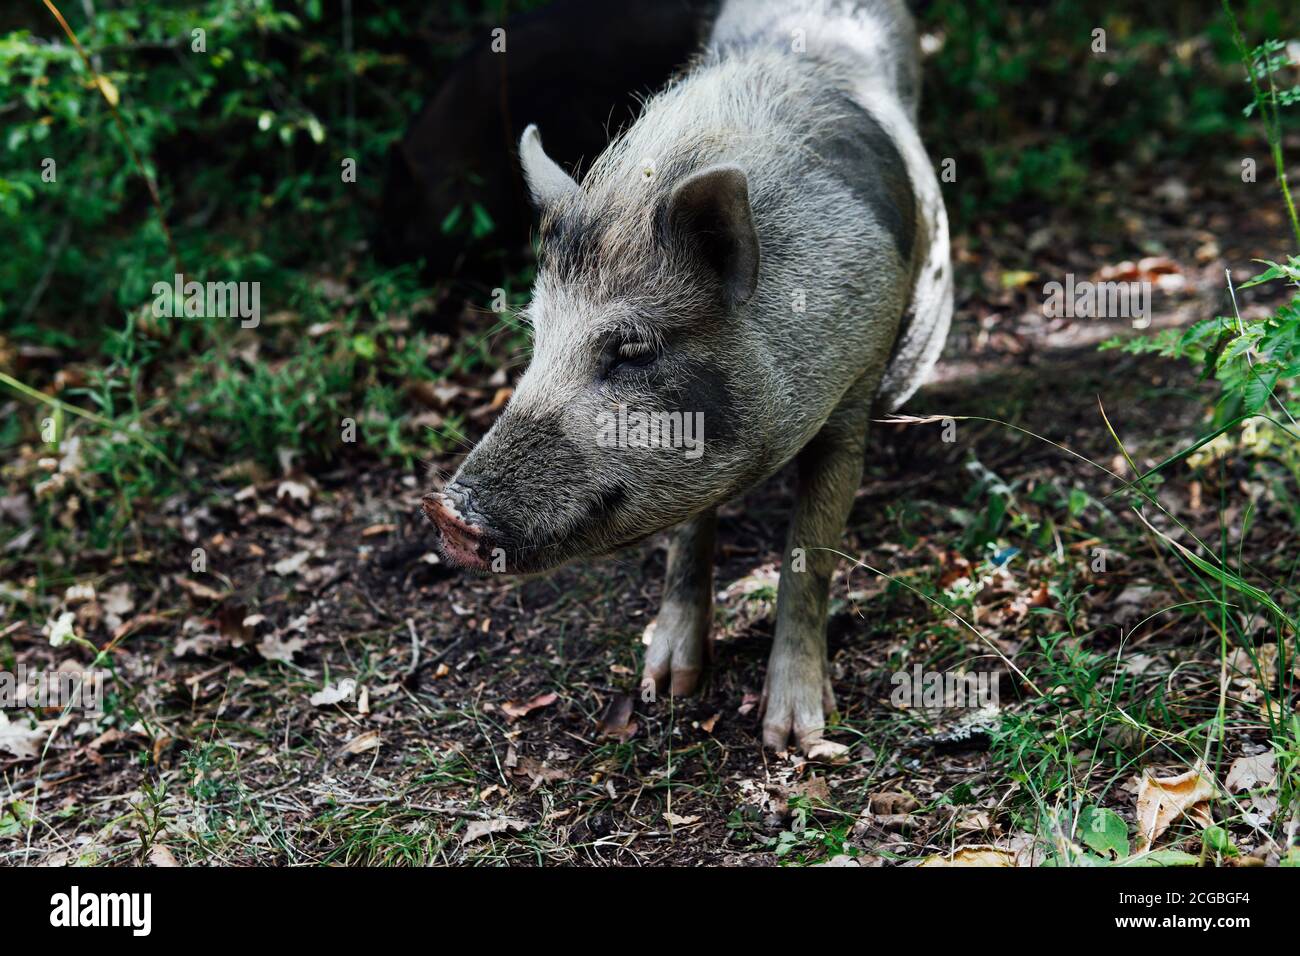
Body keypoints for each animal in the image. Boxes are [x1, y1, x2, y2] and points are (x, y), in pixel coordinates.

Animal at [423, 0, 953, 754]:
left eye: (632, 349)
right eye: (536, 334)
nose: (446, 510)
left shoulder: (852, 395)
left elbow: (811, 553)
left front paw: (795, 738)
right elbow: (688, 532)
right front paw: (664, 686)